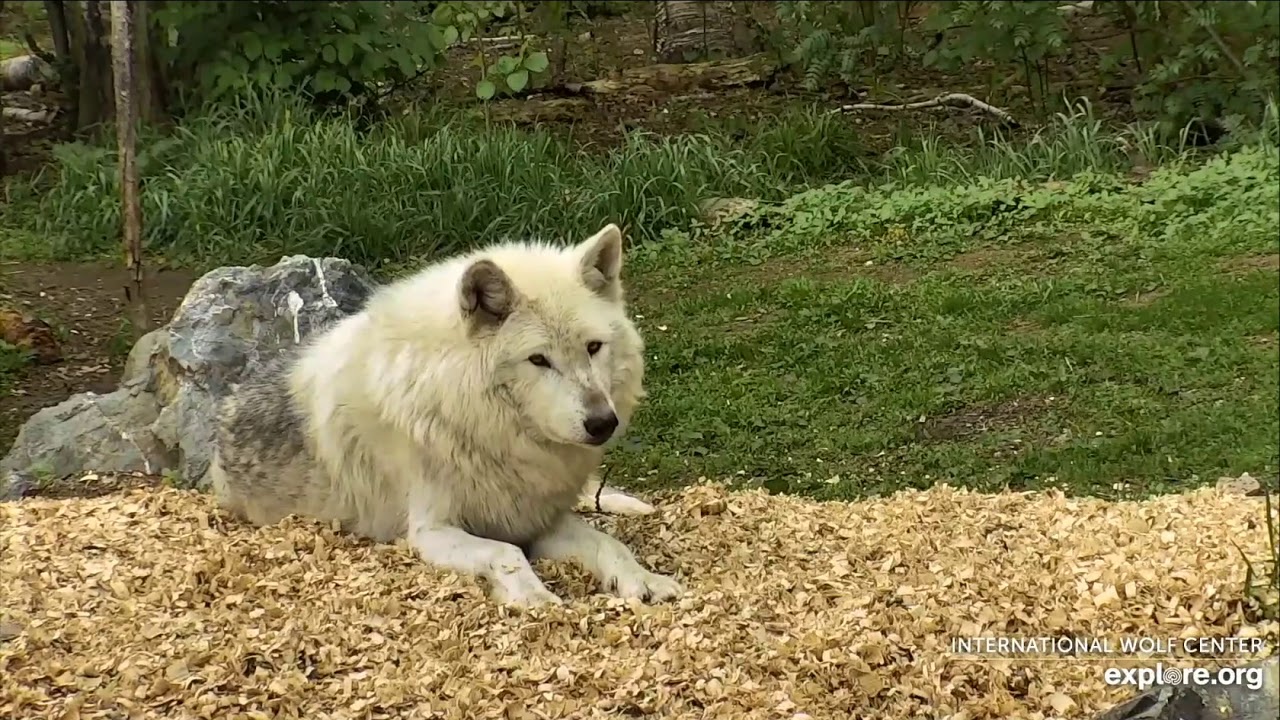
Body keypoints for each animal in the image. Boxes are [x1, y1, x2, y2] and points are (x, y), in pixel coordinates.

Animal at [209, 224, 683, 607]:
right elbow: (505, 553)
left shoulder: (533, 520)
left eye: (593, 347)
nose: (603, 423)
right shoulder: (431, 531)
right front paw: (533, 597)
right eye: (538, 360)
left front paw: (645, 581)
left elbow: (609, 543)